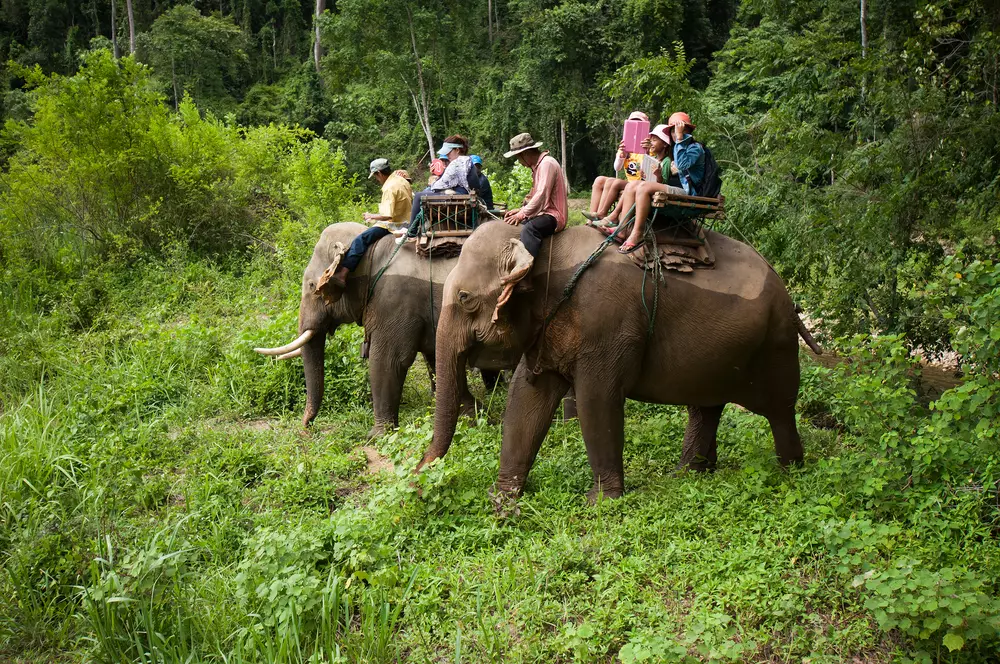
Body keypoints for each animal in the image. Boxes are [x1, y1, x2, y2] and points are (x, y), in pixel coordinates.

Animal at [254, 223, 516, 438]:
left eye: (311, 286)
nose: (306, 427)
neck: (374, 249)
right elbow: (437, 357)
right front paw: (473, 415)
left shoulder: (394, 299)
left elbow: (389, 360)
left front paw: (377, 436)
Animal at [418, 222, 824, 504]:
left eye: (465, 297)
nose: (418, 481)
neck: (547, 249)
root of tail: (786, 293)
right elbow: (526, 397)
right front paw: (502, 501)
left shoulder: (607, 323)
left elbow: (598, 400)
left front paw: (601, 504)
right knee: (706, 406)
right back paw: (689, 475)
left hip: (775, 344)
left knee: (779, 409)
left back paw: (790, 471)